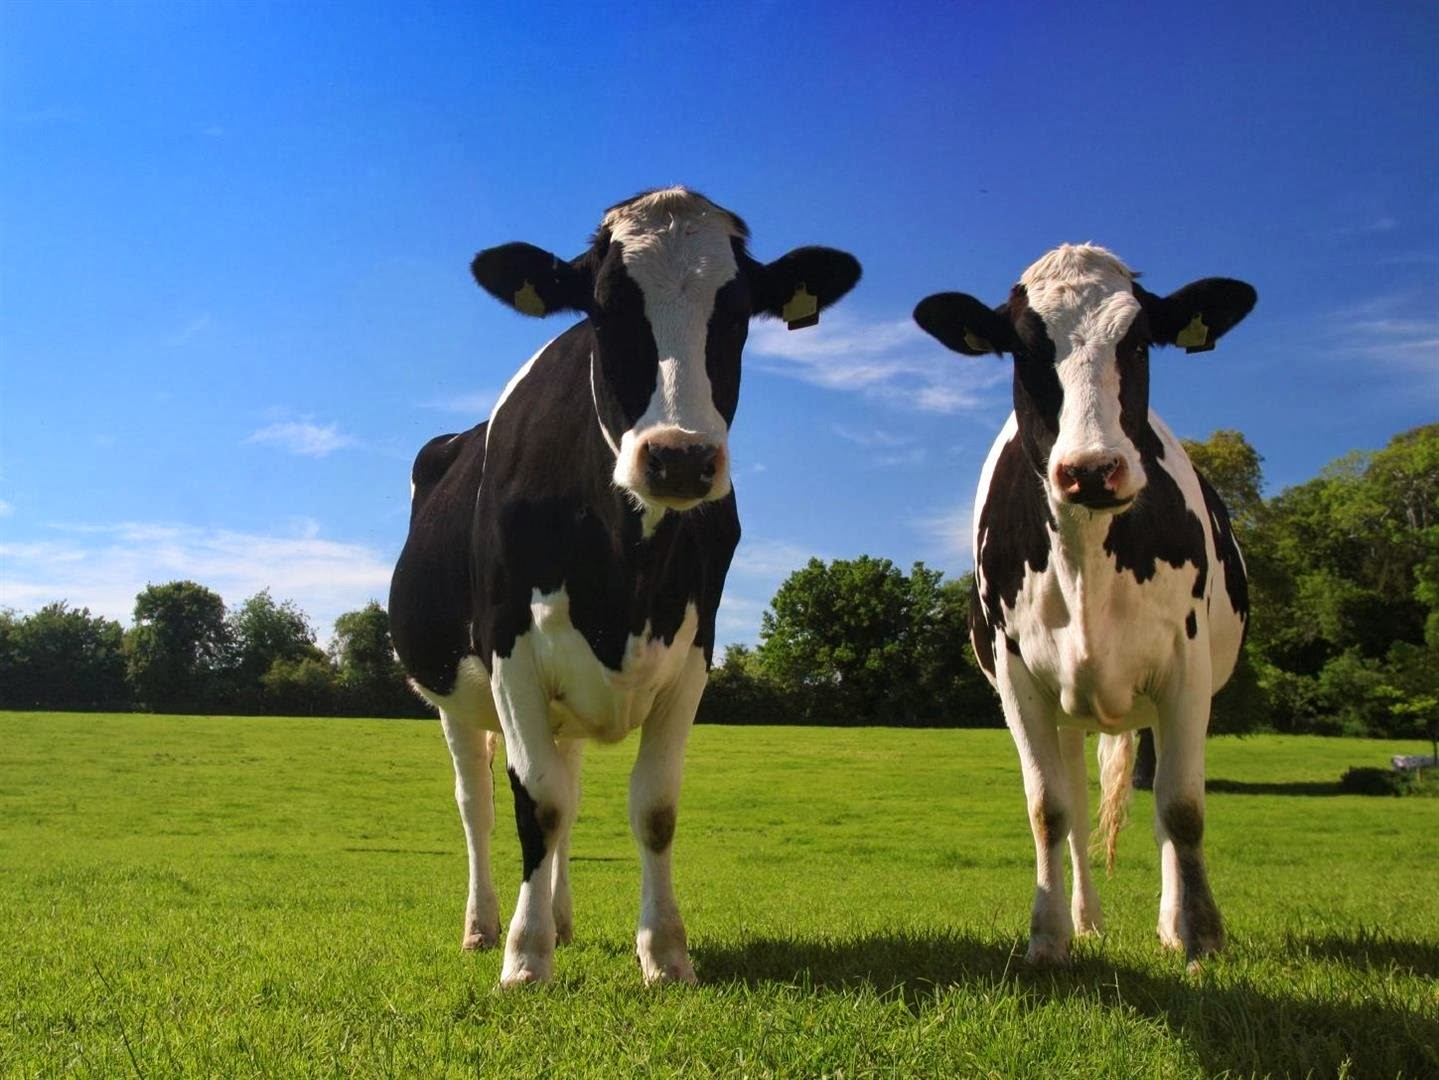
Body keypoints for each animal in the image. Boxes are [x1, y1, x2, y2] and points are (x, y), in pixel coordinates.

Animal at [389, 188, 861, 986]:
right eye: (604, 310)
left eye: (736, 314)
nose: (678, 458)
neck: (625, 579)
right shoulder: (509, 649)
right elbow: (536, 804)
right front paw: (525, 959)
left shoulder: (694, 651)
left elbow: (652, 808)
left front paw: (664, 953)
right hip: (453, 694)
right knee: (480, 803)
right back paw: (485, 926)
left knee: (568, 789)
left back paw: (560, 918)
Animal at [913, 244, 1255, 965]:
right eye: (1021, 346)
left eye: (1139, 341)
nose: (1092, 470)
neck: (1086, 564)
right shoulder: (1017, 676)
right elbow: (1048, 809)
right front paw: (1047, 937)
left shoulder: (1186, 667)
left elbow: (1182, 808)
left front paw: (1200, 934)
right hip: (1069, 711)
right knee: (1072, 802)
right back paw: (1087, 920)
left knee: (1158, 805)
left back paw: (1167, 921)